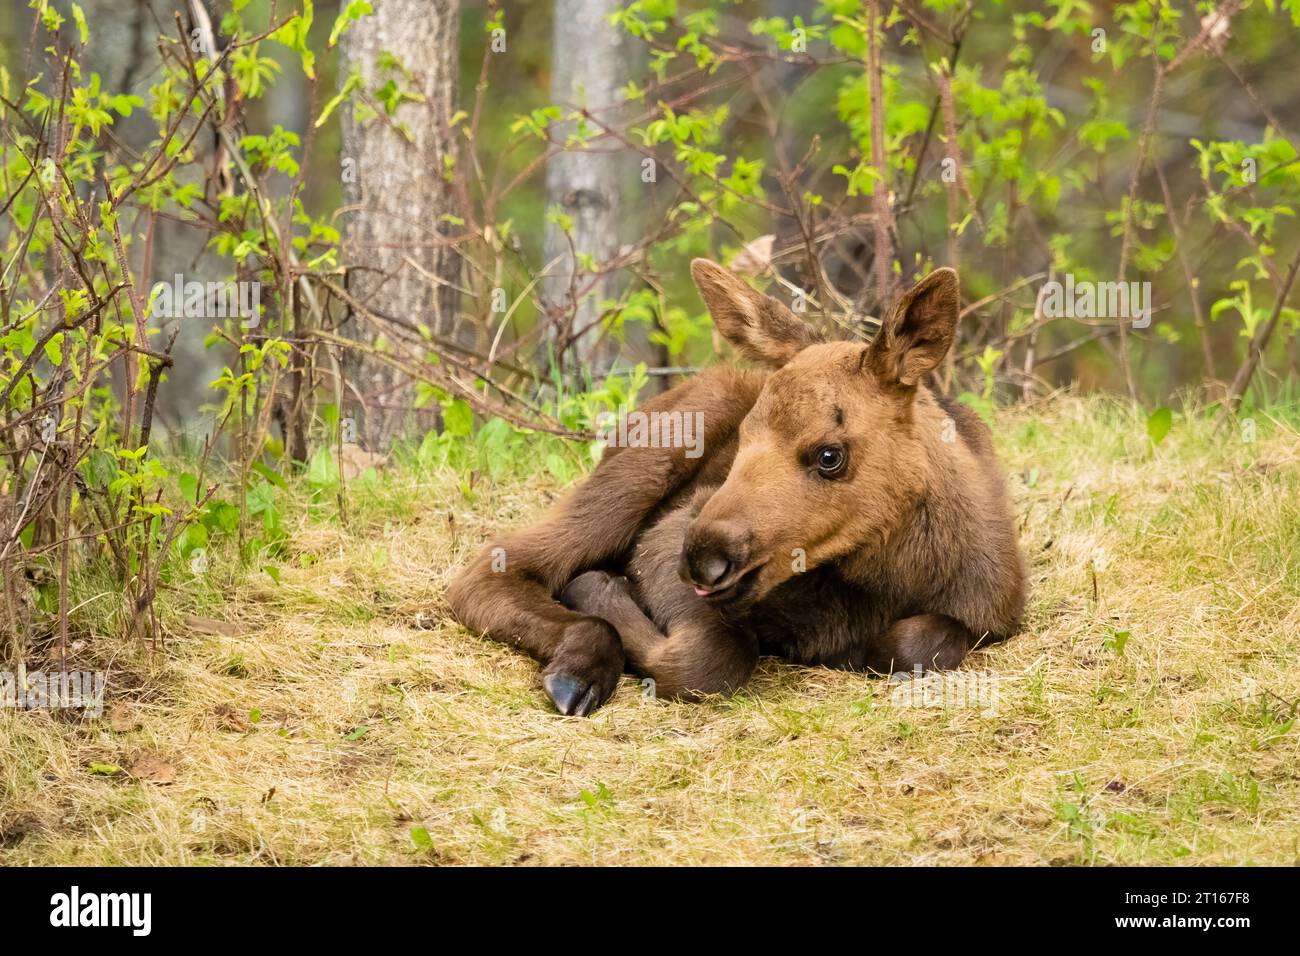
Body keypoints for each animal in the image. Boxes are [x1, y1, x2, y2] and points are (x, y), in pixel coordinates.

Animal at [445, 259, 1027, 715]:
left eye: (830, 455)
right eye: (745, 437)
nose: (703, 558)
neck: (891, 573)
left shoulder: (995, 612)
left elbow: (921, 642)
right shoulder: (663, 543)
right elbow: (708, 659)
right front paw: (602, 590)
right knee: (497, 563)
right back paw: (580, 664)